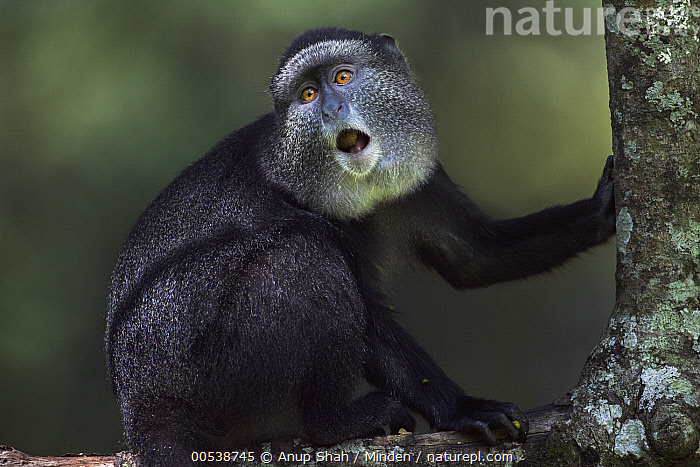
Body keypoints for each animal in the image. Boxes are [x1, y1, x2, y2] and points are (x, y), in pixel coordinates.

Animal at [105, 27, 615, 466]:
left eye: (343, 77)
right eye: (307, 95)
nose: (331, 109)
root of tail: (142, 406)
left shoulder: (421, 181)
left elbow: (472, 257)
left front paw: (602, 210)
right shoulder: (308, 205)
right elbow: (370, 318)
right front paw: (464, 409)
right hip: (210, 378)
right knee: (305, 255)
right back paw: (335, 422)